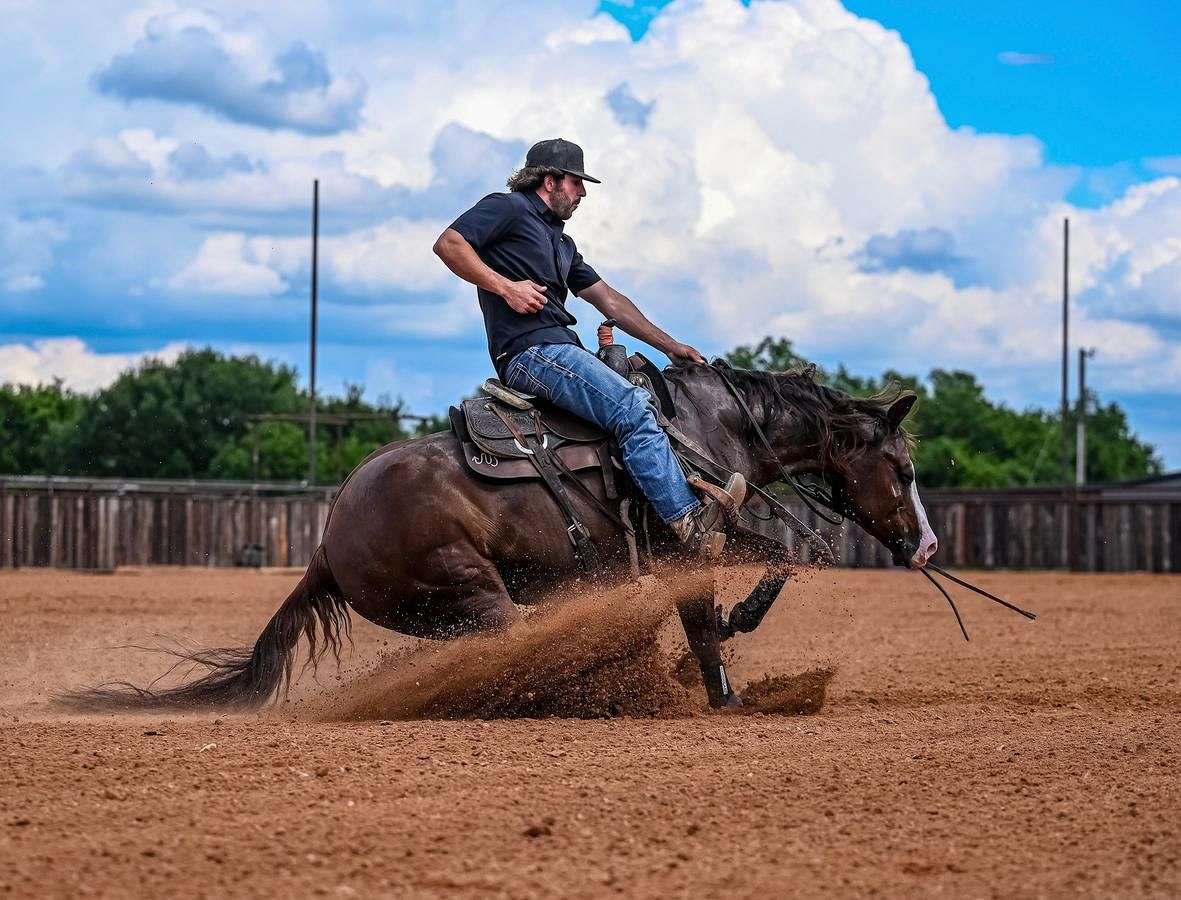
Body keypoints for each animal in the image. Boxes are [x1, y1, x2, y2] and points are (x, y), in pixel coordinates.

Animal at [61, 362, 937, 712]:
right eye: (899, 467)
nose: (924, 548)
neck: (699, 429)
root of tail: (326, 544)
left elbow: (768, 574)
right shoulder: (691, 545)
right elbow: (741, 594)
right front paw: (724, 682)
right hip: (472, 591)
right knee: (509, 647)